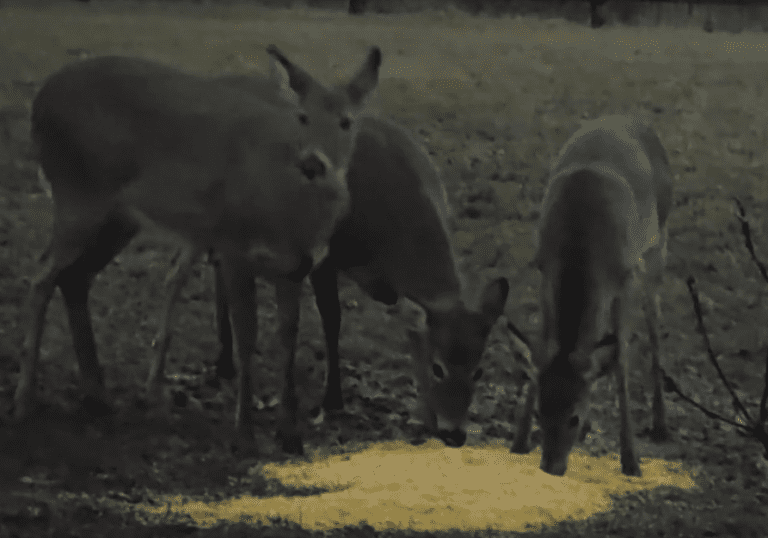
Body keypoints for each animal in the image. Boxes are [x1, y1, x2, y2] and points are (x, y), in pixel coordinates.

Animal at [14, 46, 382, 454]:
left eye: (346, 122)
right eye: (302, 117)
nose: (313, 163)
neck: (288, 209)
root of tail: (39, 101)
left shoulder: (295, 268)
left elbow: (287, 340)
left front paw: (290, 435)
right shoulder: (233, 248)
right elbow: (247, 337)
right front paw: (244, 433)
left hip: (117, 217)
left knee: (74, 278)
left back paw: (98, 397)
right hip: (78, 192)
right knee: (41, 277)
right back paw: (25, 400)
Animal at [509, 114, 672, 477]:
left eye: (573, 416)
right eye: (540, 411)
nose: (551, 466)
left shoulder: (625, 277)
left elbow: (621, 360)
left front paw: (630, 459)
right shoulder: (544, 268)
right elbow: (543, 346)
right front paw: (518, 441)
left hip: (657, 244)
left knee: (654, 325)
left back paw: (661, 425)